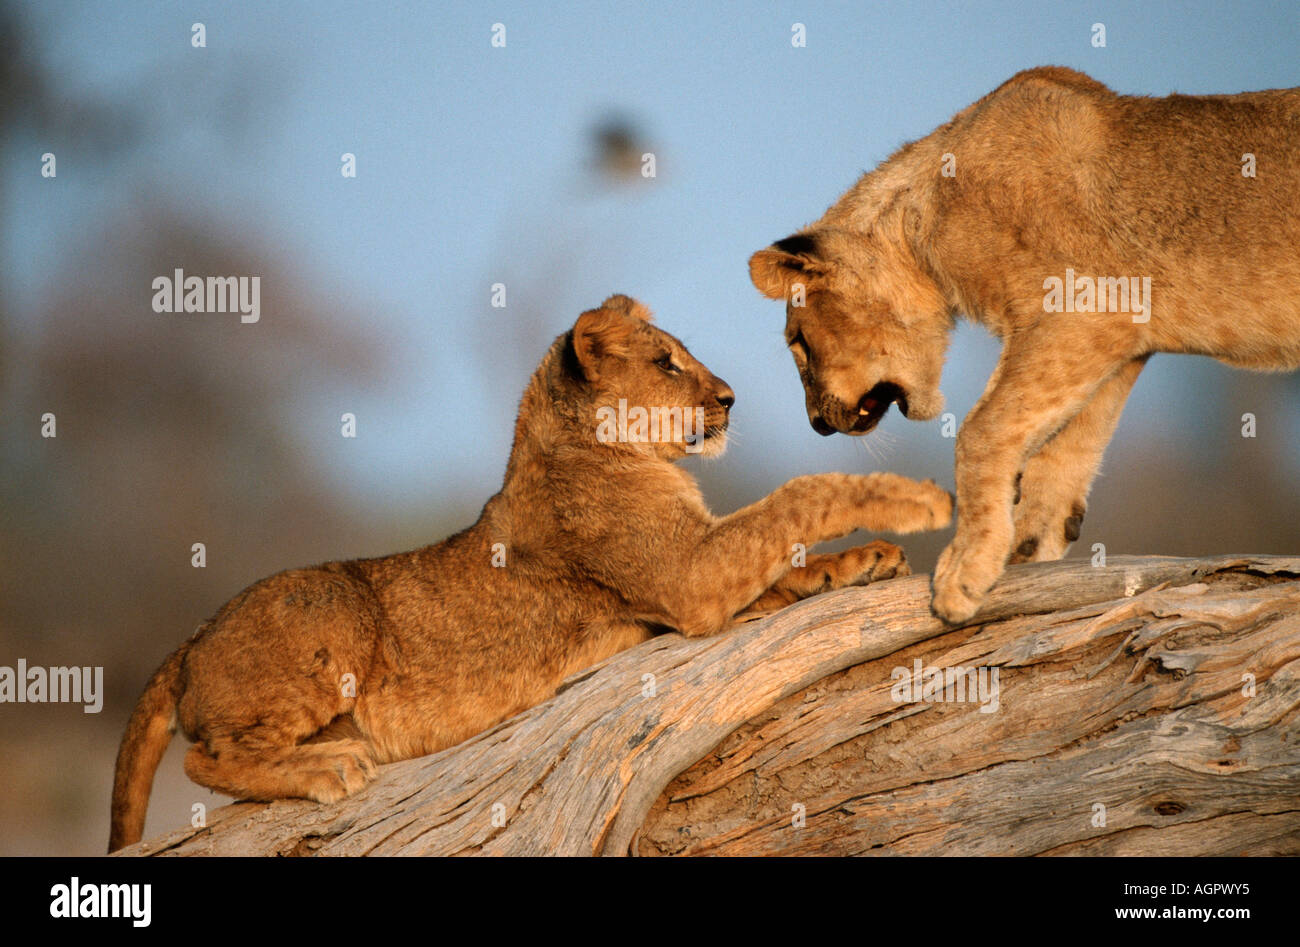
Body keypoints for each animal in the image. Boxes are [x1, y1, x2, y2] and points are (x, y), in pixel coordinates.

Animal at [108, 293, 953, 851]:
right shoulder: (689, 578)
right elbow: (798, 497)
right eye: (665, 363)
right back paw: (330, 765)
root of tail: (191, 638)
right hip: (330, 605)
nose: (730, 398)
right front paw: (916, 499)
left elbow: (783, 555)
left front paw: (862, 564)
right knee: (205, 755)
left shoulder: (694, 566)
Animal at [748, 66, 1300, 625]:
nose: (817, 424)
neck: (924, 218)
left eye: (799, 341)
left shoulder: (1080, 308)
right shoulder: (1115, 340)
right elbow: (1066, 451)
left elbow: (982, 431)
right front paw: (1026, 550)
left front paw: (963, 571)